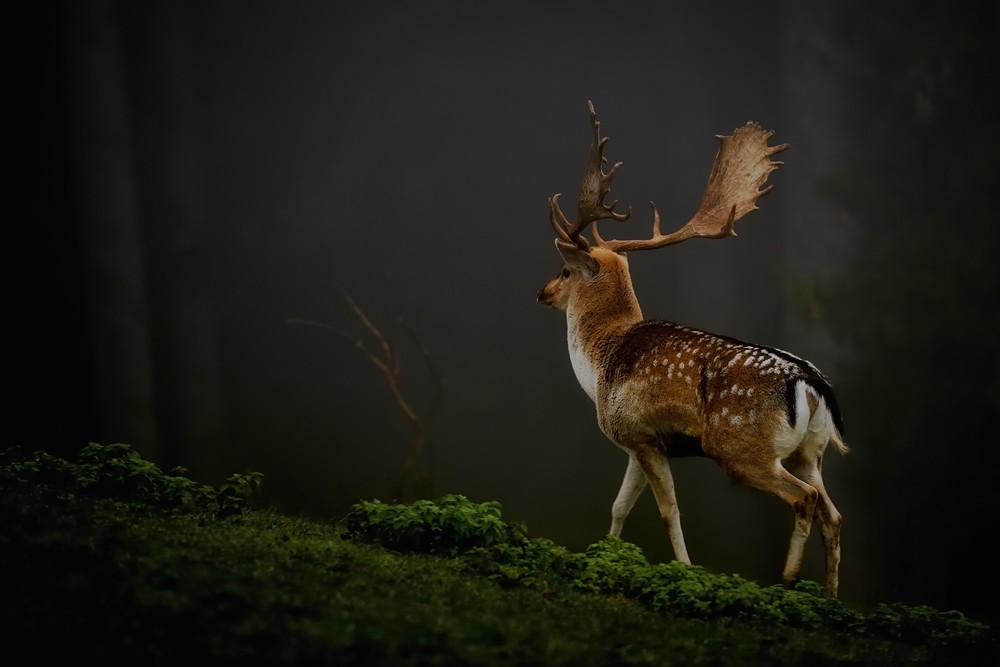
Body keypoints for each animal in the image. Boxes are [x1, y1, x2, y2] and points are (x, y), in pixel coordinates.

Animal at [536, 102, 848, 596]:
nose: (542, 293)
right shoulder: (637, 441)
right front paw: (604, 557)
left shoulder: (640, 433)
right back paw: (831, 598)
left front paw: (685, 571)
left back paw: (787, 578)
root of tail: (810, 382)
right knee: (833, 514)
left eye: (565, 271)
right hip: (811, 450)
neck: (599, 364)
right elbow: (619, 505)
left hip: (743, 449)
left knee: (807, 499)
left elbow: (669, 510)